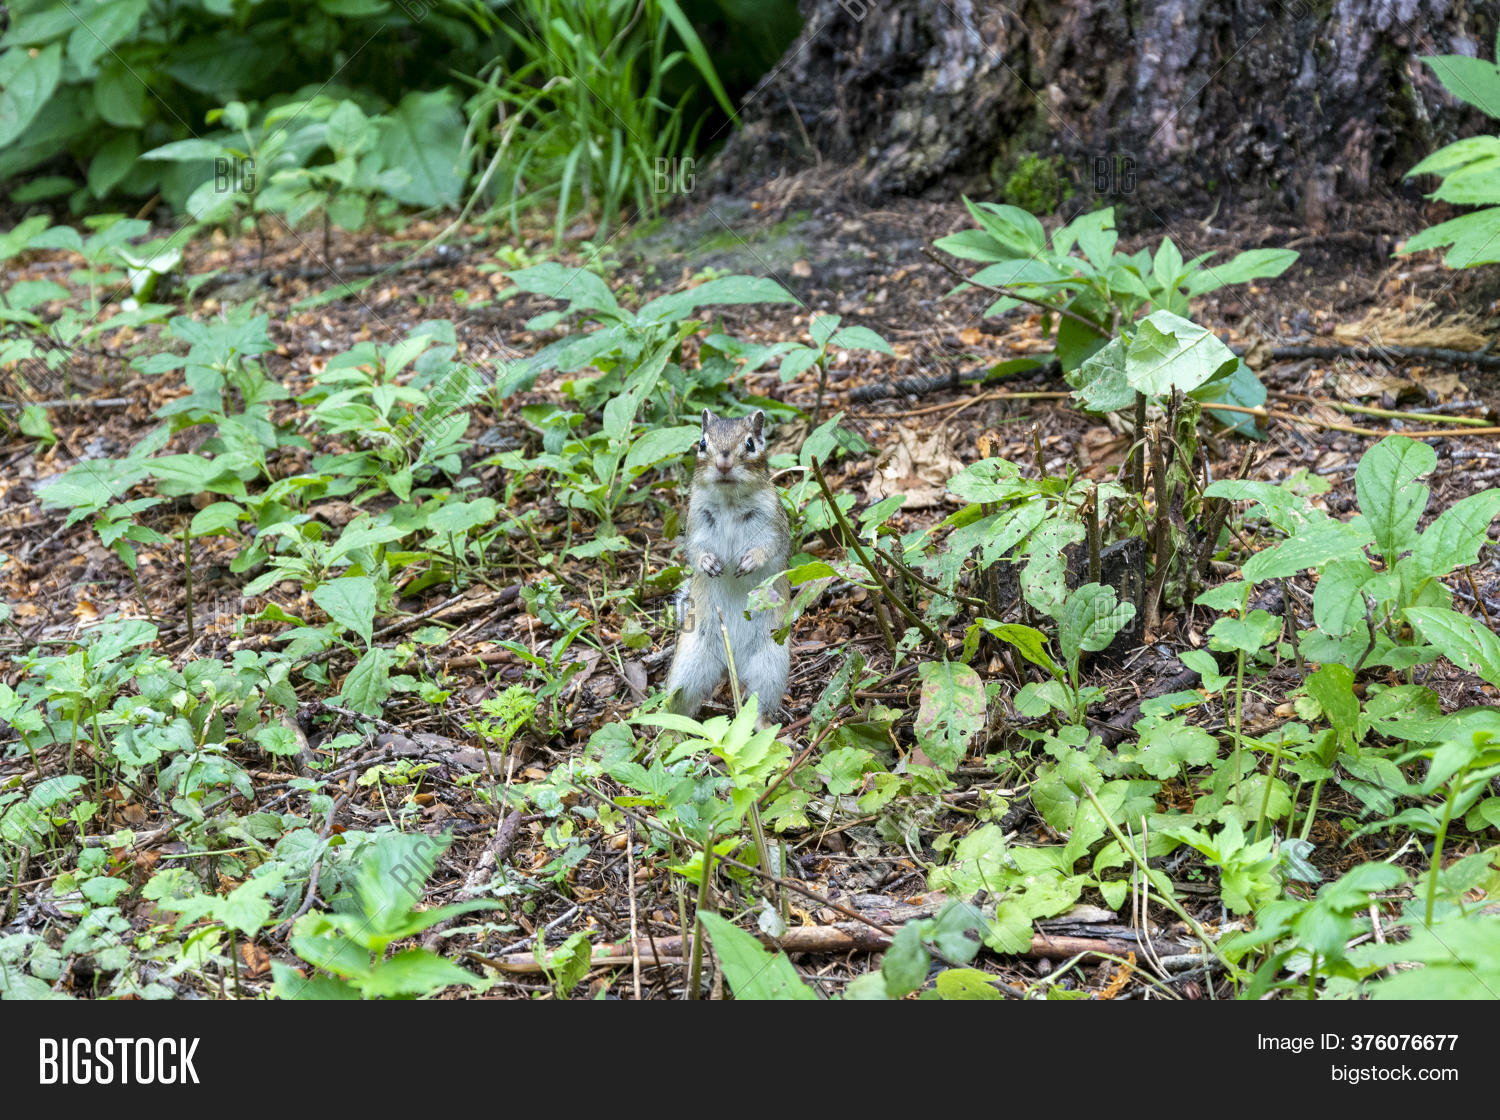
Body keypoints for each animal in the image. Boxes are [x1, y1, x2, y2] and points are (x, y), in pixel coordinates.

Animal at [665, 408, 791, 727]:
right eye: (701, 443)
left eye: (750, 444)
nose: (723, 463)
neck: (730, 501)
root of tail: (729, 664)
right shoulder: (695, 525)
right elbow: (694, 551)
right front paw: (708, 564)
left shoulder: (774, 528)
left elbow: (769, 548)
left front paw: (749, 561)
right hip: (690, 664)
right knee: (678, 706)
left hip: (770, 664)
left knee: (757, 704)